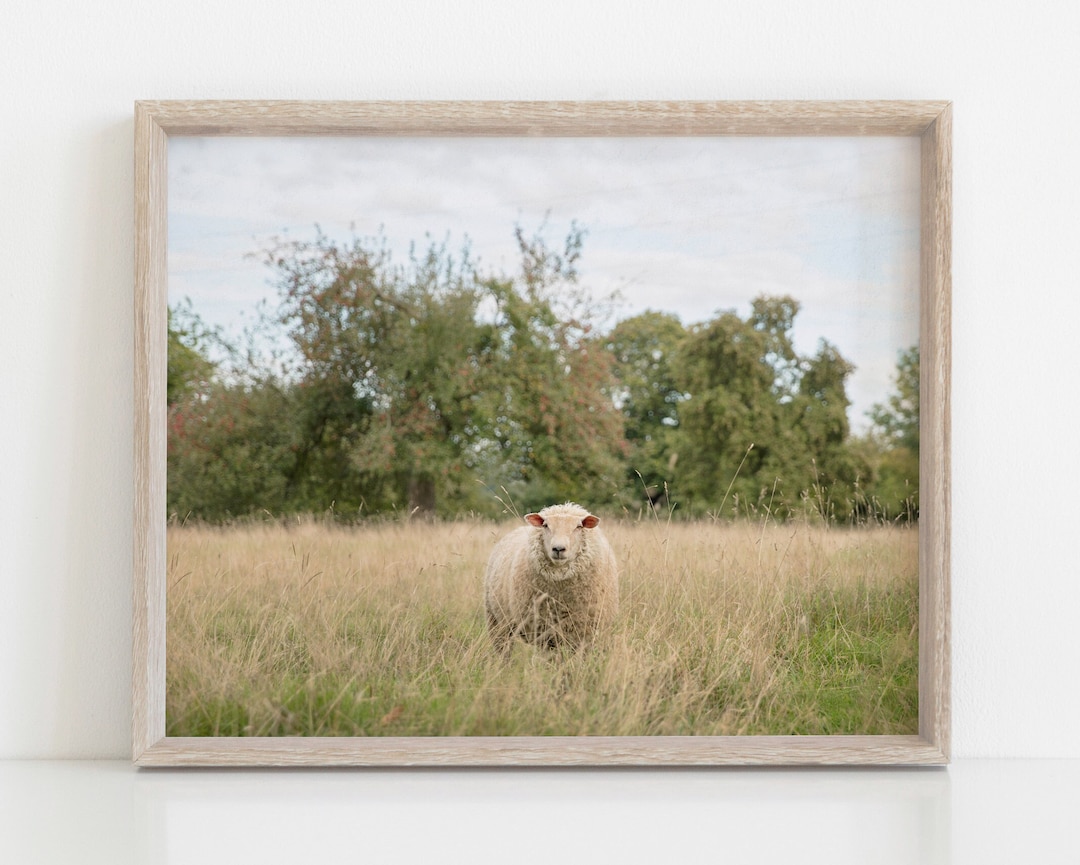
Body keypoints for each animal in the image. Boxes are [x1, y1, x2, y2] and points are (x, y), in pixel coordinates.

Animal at [483, 502, 618, 654]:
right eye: (546, 525)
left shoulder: (584, 631)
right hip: (497, 622)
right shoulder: (545, 633)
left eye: (578, 526)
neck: (561, 598)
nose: (558, 549)